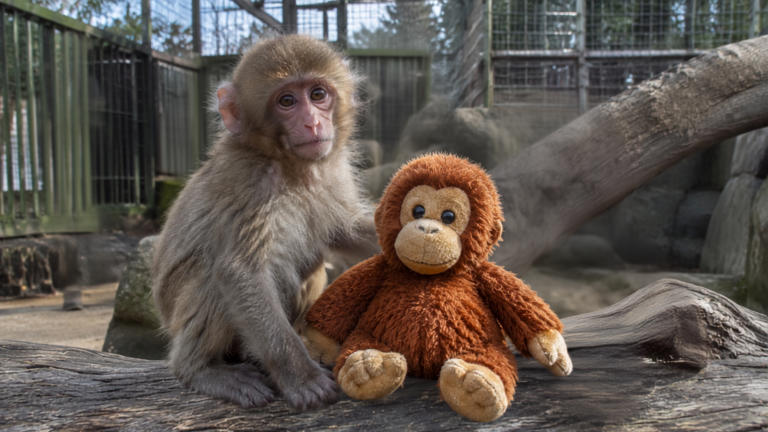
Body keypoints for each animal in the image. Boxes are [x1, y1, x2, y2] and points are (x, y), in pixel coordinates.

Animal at [151, 35, 373, 410]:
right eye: (286, 101)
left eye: (318, 94)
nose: (313, 124)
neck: (291, 167)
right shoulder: (248, 181)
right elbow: (239, 272)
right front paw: (302, 378)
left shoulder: (332, 169)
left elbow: (344, 230)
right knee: (212, 275)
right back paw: (201, 370)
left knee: (312, 265)